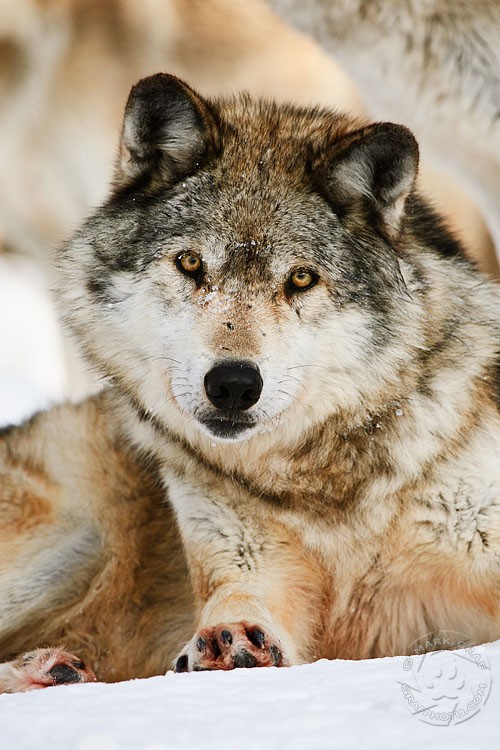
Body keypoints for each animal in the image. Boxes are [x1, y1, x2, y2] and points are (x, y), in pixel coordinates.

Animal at [1, 73, 500, 686]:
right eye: (191, 264)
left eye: (301, 278)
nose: (234, 384)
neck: (327, 491)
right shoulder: (245, 560)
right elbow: (239, 599)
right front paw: (229, 638)